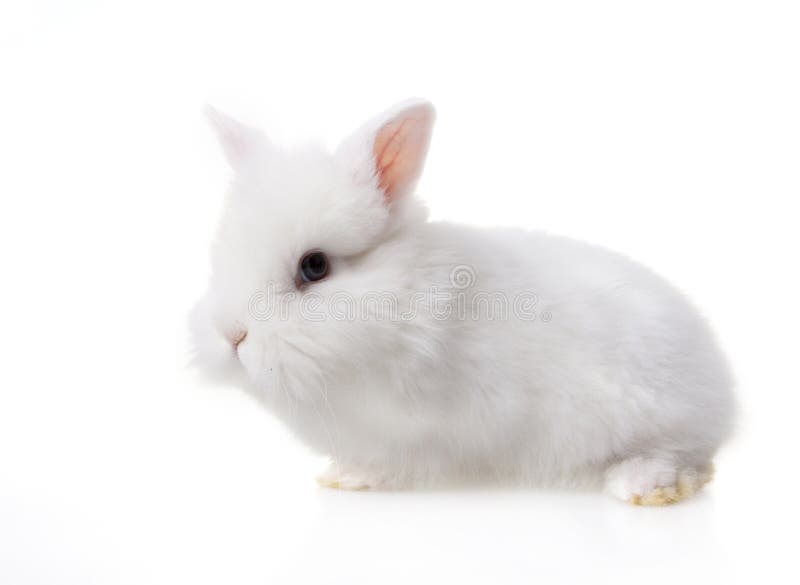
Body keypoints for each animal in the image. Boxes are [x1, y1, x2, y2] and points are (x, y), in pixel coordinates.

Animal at [191, 98, 735, 505]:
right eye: (221, 256)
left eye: (315, 266)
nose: (232, 336)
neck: (404, 303)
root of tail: (724, 392)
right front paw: (341, 474)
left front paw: (357, 478)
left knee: (688, 456)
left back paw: (641, 484)